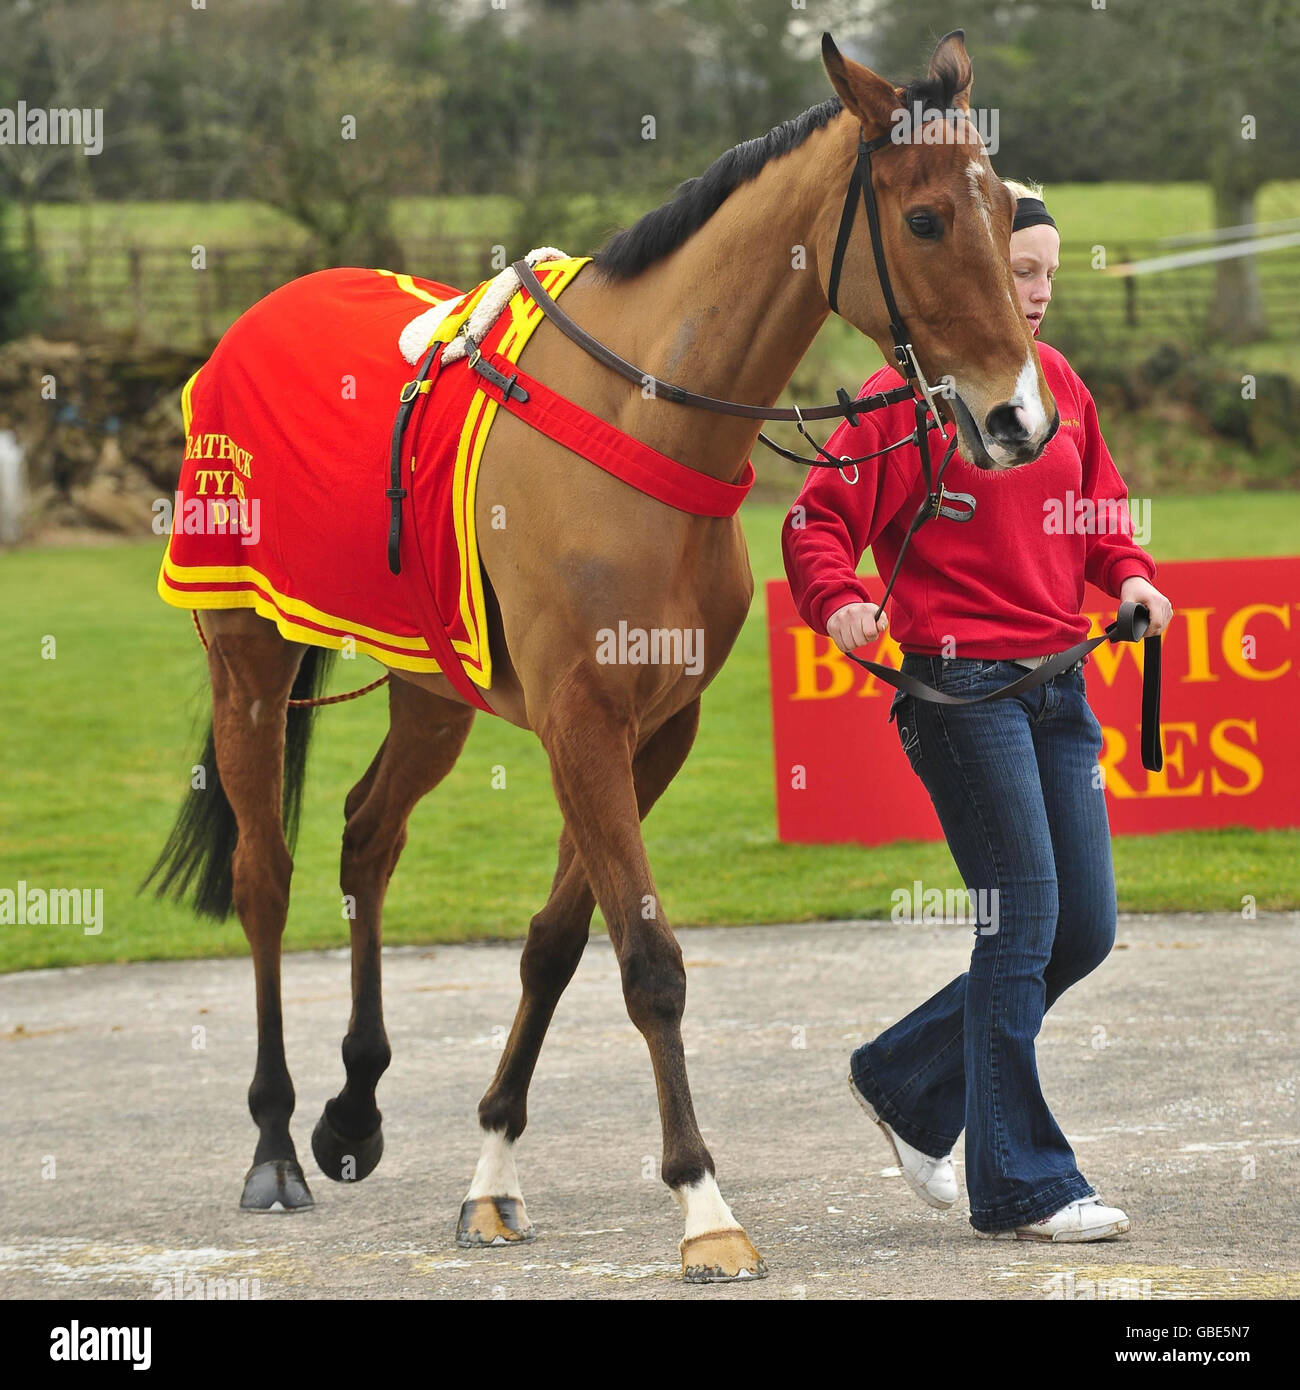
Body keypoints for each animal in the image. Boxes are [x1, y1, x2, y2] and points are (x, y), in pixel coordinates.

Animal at [146, 31, 1057, 1283]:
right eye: (923, 218)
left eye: (1002, 205)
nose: (1017, 419)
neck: (641, 423)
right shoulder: (581, 725)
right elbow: (648, 961)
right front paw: (702, 1201)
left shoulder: (651, 731)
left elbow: (556, 943)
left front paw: (492, 1171)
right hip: (247, 665)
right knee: (265, 878)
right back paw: (277, 1140)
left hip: (432, 687)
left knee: (367, 835)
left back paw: (353, 1106)